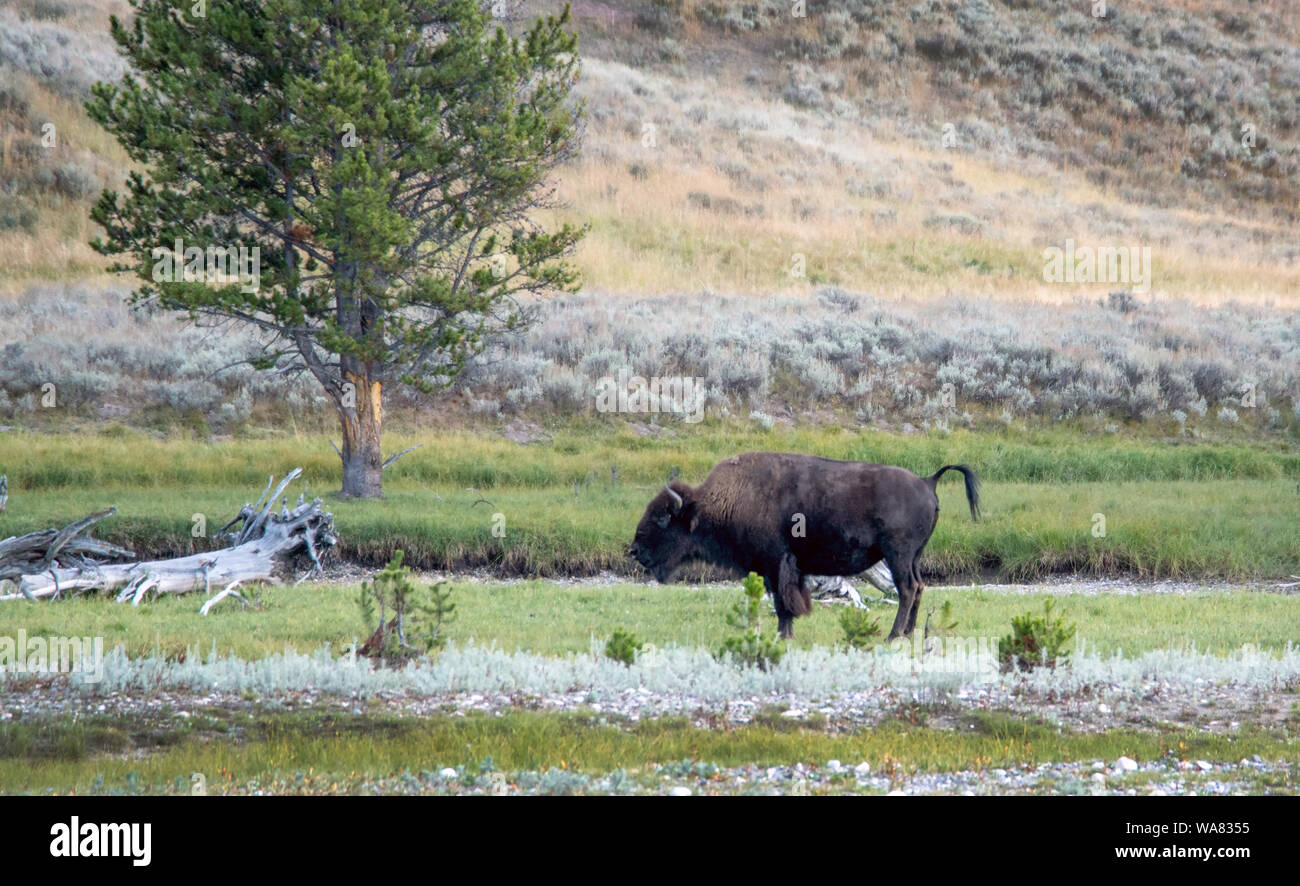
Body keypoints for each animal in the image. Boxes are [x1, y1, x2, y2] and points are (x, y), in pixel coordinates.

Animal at [627, 452, 980, 641]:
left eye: (662, 518)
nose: (634, 551)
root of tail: (928, 481)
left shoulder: (777, 565)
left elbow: (784, 603)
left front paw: (784, 634)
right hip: (914, 557)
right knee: (919, 586)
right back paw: (907, 632)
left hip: (898, 555)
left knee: (906, 589)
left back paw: (893, 634)